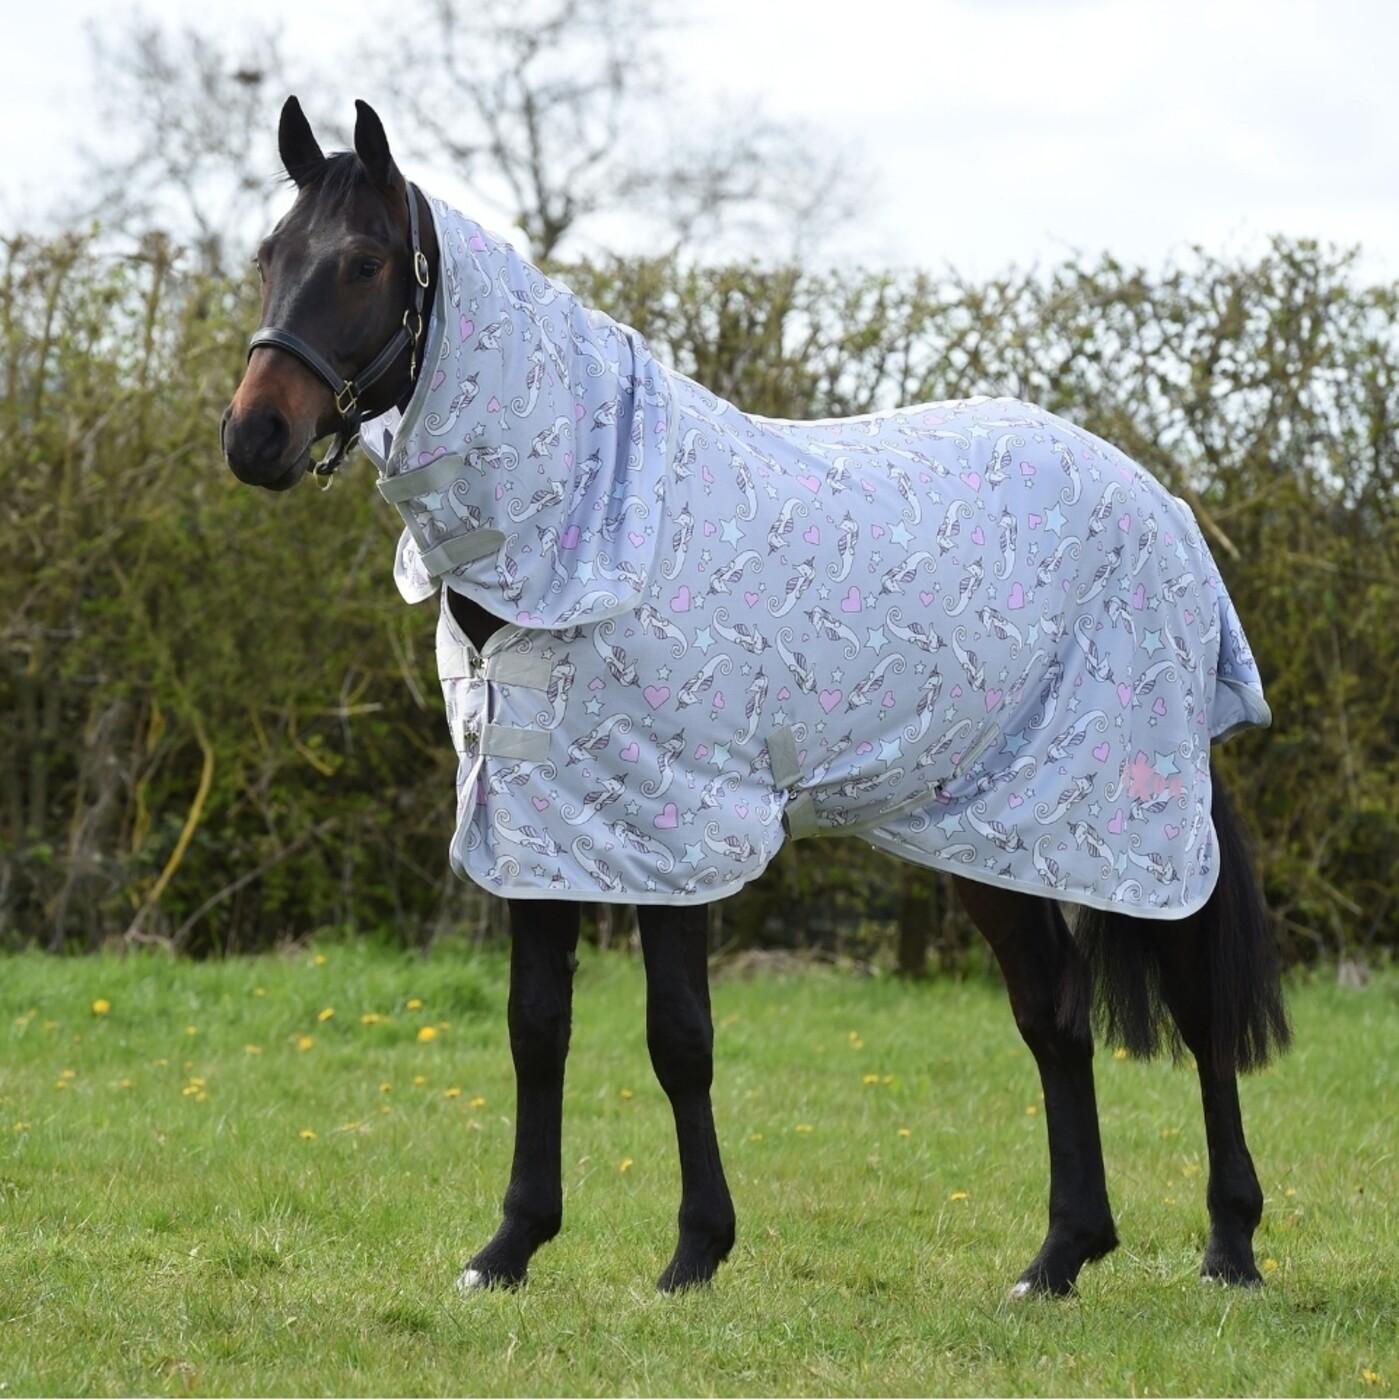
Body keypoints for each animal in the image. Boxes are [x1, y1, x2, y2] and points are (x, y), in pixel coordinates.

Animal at [221, 96, 1290, 1298]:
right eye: (270, 254)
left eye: (362, 262)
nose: (253, 436)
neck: (588, 526)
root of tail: (1164, 504)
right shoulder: (538, 821)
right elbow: (535, 1027)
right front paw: (509, 1247)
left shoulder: (671, 825)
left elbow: (677, 1037)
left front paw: (694, 1250)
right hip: (996, 832)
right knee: (1051, 1017)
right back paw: (1059, 1257)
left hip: (1127, 822)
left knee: (1200, 1013)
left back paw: (1229, 1245)